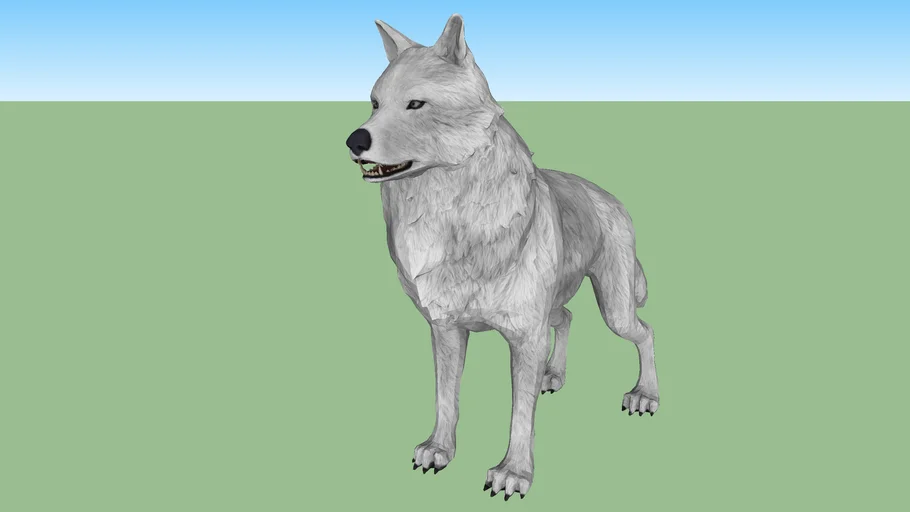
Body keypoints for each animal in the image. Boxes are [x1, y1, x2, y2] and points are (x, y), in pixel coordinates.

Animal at [345, 14, 659, 500]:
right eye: (375, 104)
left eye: (415, 104)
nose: (354, 140)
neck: (456, 220)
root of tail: (610, 198)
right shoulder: (447, 330)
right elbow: (446, 397)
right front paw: (439, 449)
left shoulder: (523, 337)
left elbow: (520, 415)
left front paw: (513, 472)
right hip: (558, 307)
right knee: (567, 318)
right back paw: (553, 374)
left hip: (616, 308)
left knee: (645, 333)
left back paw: (645, 394)